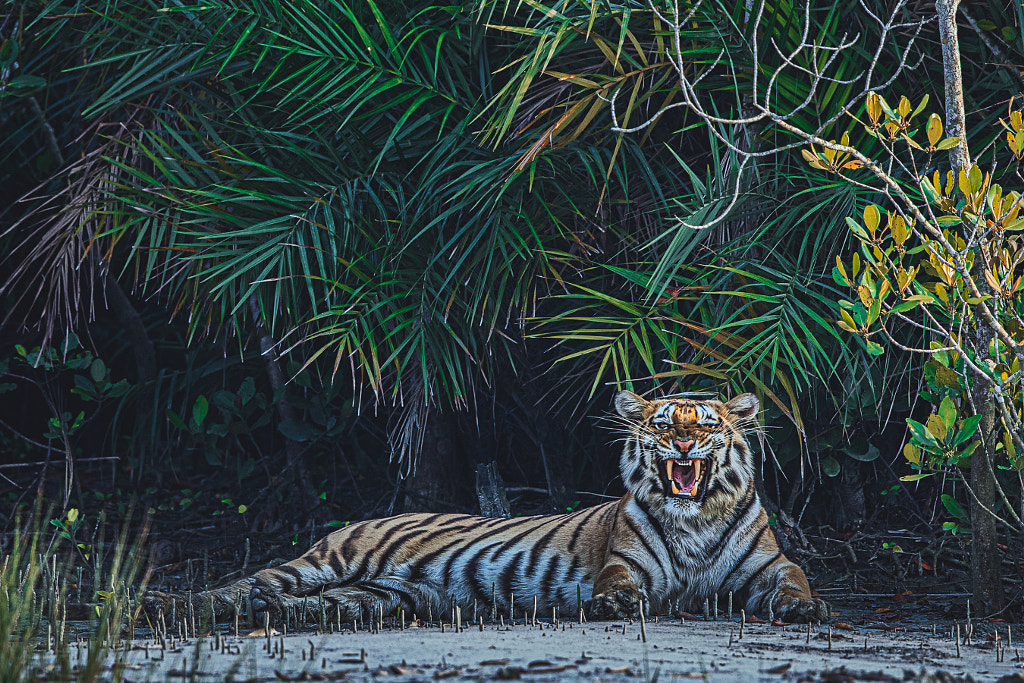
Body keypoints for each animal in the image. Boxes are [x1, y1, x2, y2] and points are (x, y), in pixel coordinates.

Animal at [144, 391, 829, 626]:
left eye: (704, 423)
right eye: (663, 426)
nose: (683, 446)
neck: (696, 518)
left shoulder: (768, 566)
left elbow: (796, 579)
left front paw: (805, 610)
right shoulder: (627, 562)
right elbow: (619, 583)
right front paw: (614, 606)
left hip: (385, 595)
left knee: (293, 602)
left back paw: (281, 618)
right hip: (328, 561)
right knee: (241, 585)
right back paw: (165, 608)